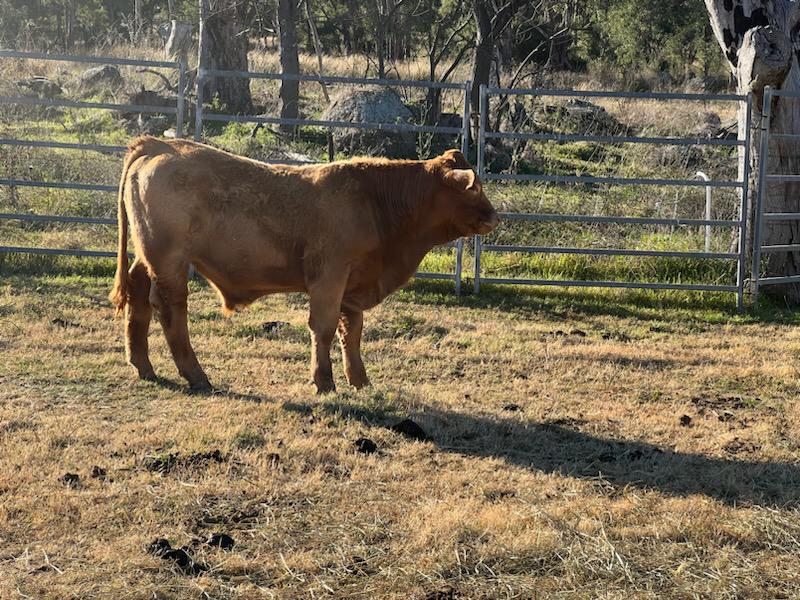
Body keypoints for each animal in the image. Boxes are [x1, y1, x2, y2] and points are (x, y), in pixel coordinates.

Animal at [109, 136, 499, 393]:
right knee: (170, 310)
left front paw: (359, 380)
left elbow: (352, 331)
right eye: (475, 189)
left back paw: (143, 365)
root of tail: (160, 145)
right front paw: (324, 381)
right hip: (169, 259)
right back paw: (196, 375)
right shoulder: (329, 278)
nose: (495, 216)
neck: (376, 201)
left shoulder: (353, 284)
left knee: (138, 297)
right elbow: (323, 328)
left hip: (147, 257)